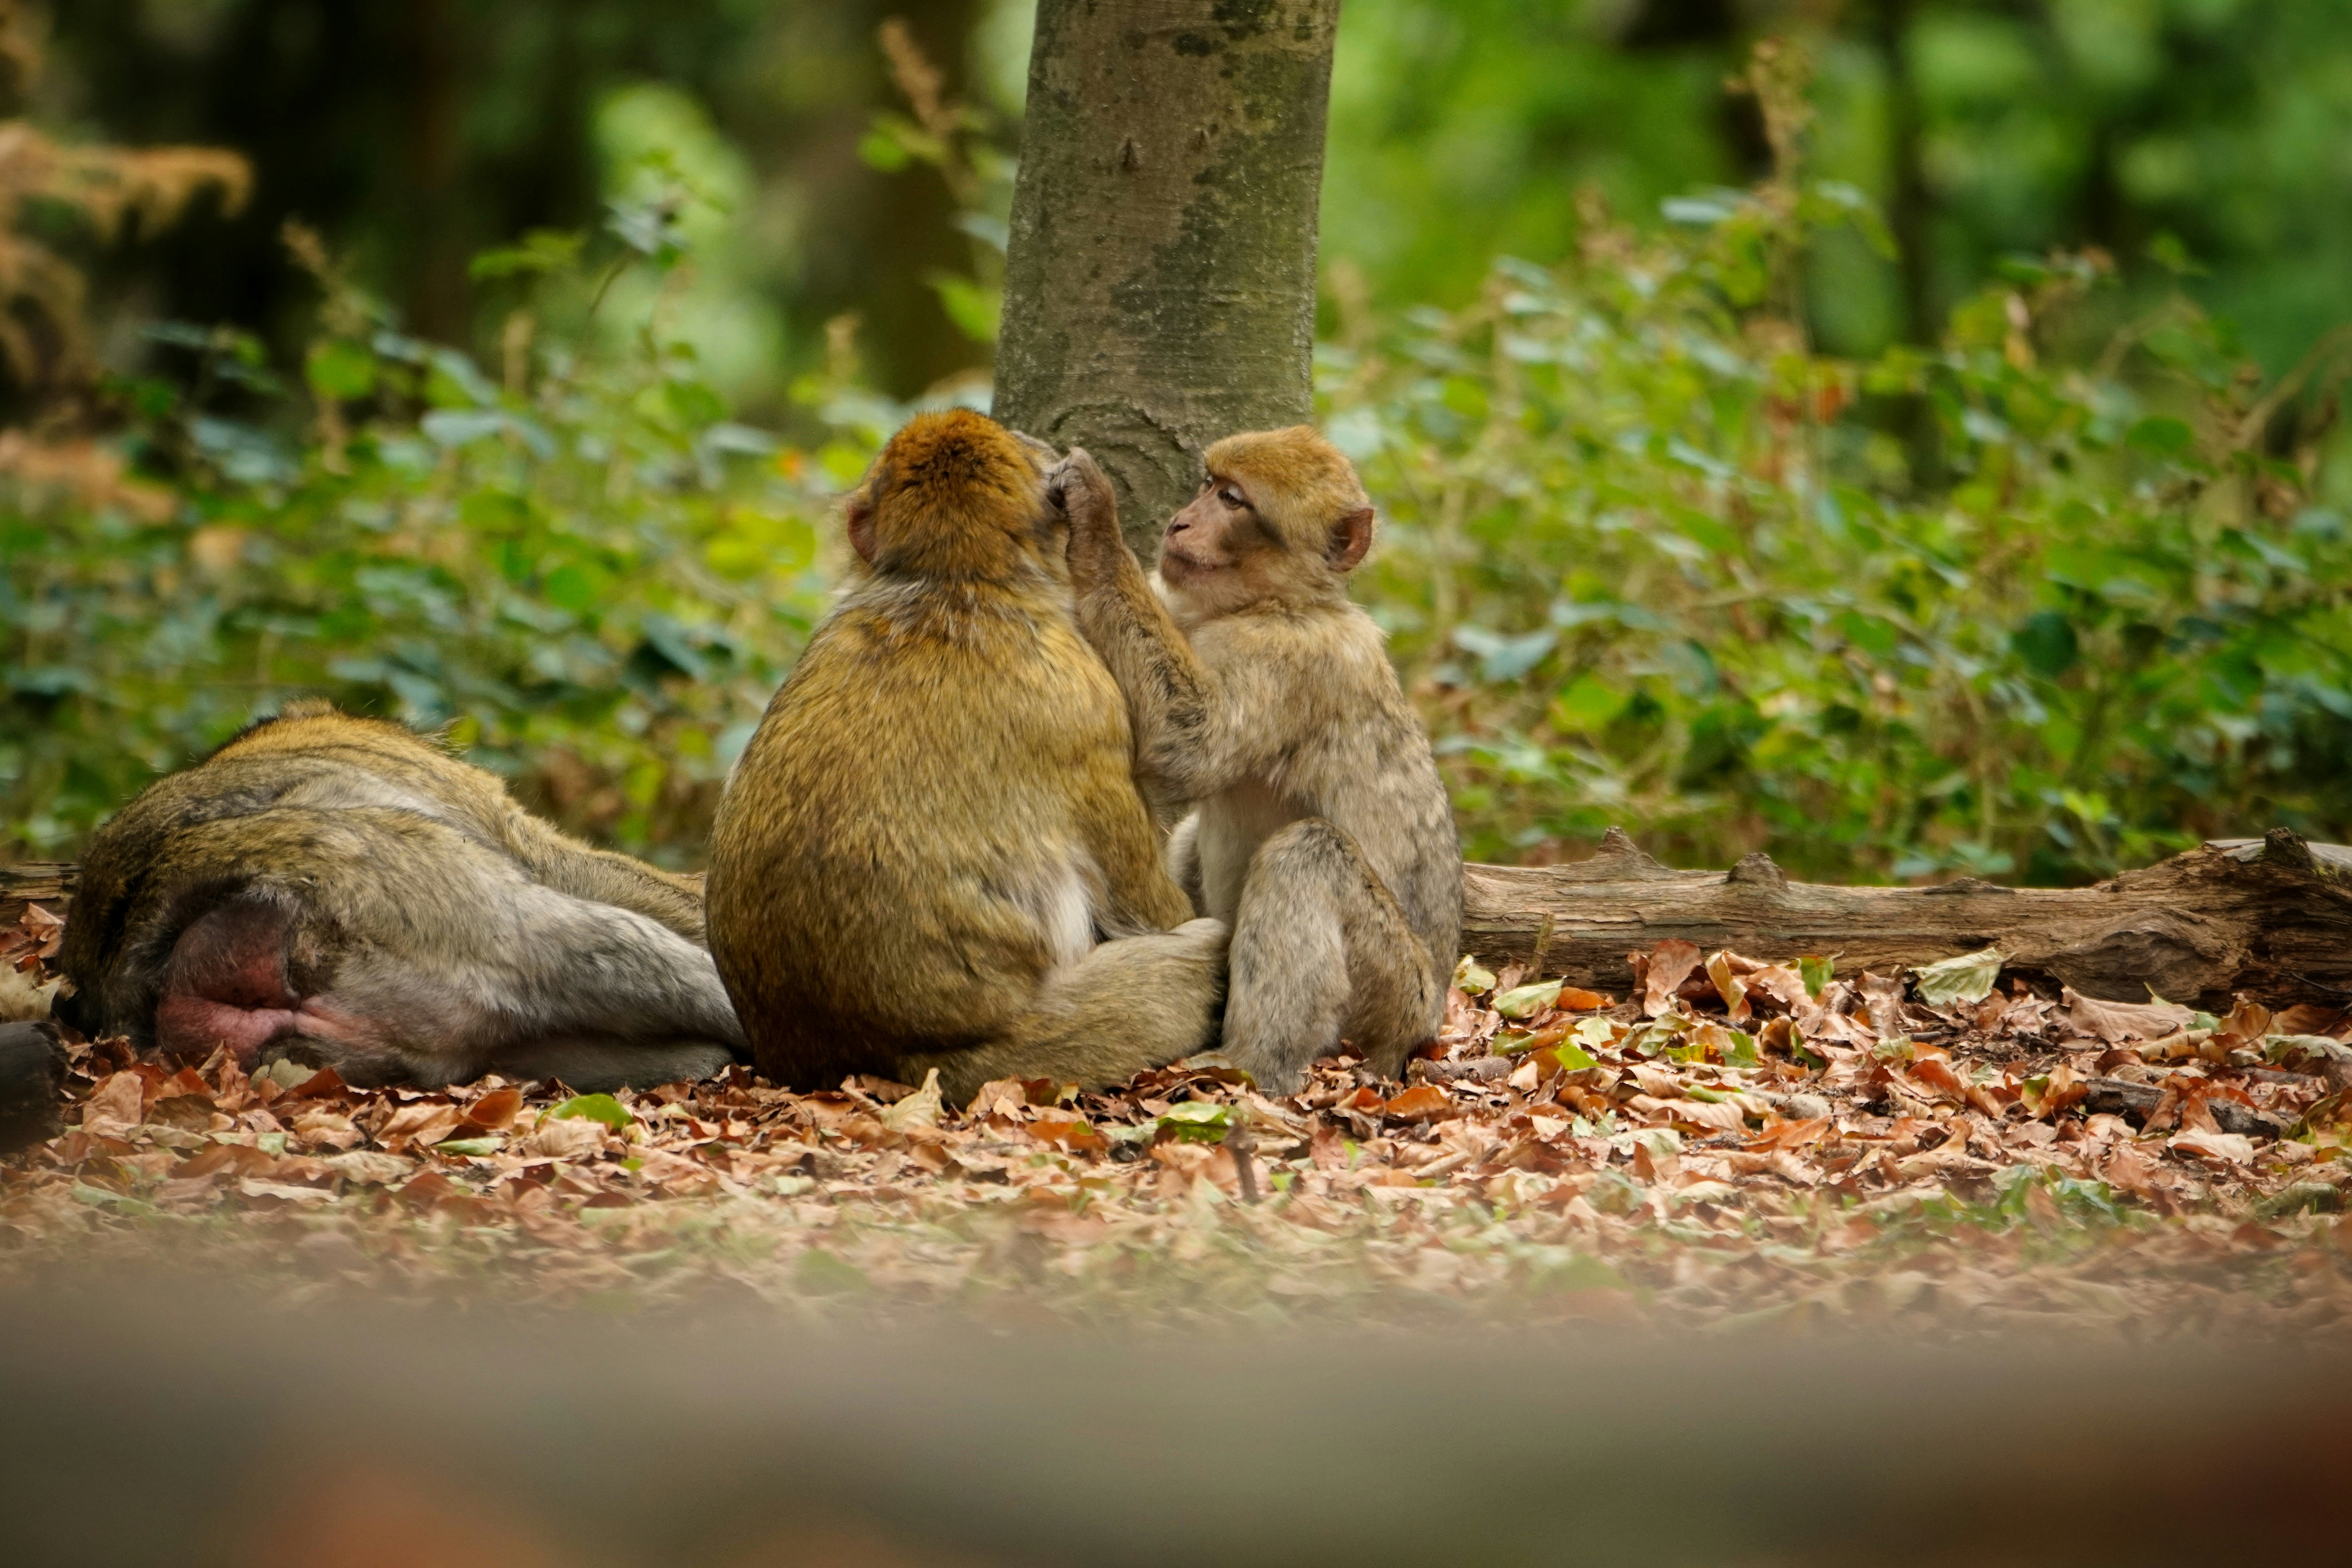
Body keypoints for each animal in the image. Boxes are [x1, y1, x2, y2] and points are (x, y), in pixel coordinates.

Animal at [1049, 427, 1462, 1095]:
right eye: (1208, 484)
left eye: (1234, 501)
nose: (1181, 523)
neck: (1272, 604)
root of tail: (1427, 1027)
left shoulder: (1293, 661)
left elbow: (1192, 749)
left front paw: (1095, 523)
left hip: (1392, 994)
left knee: (1307, 853)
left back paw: (1253, 1066)